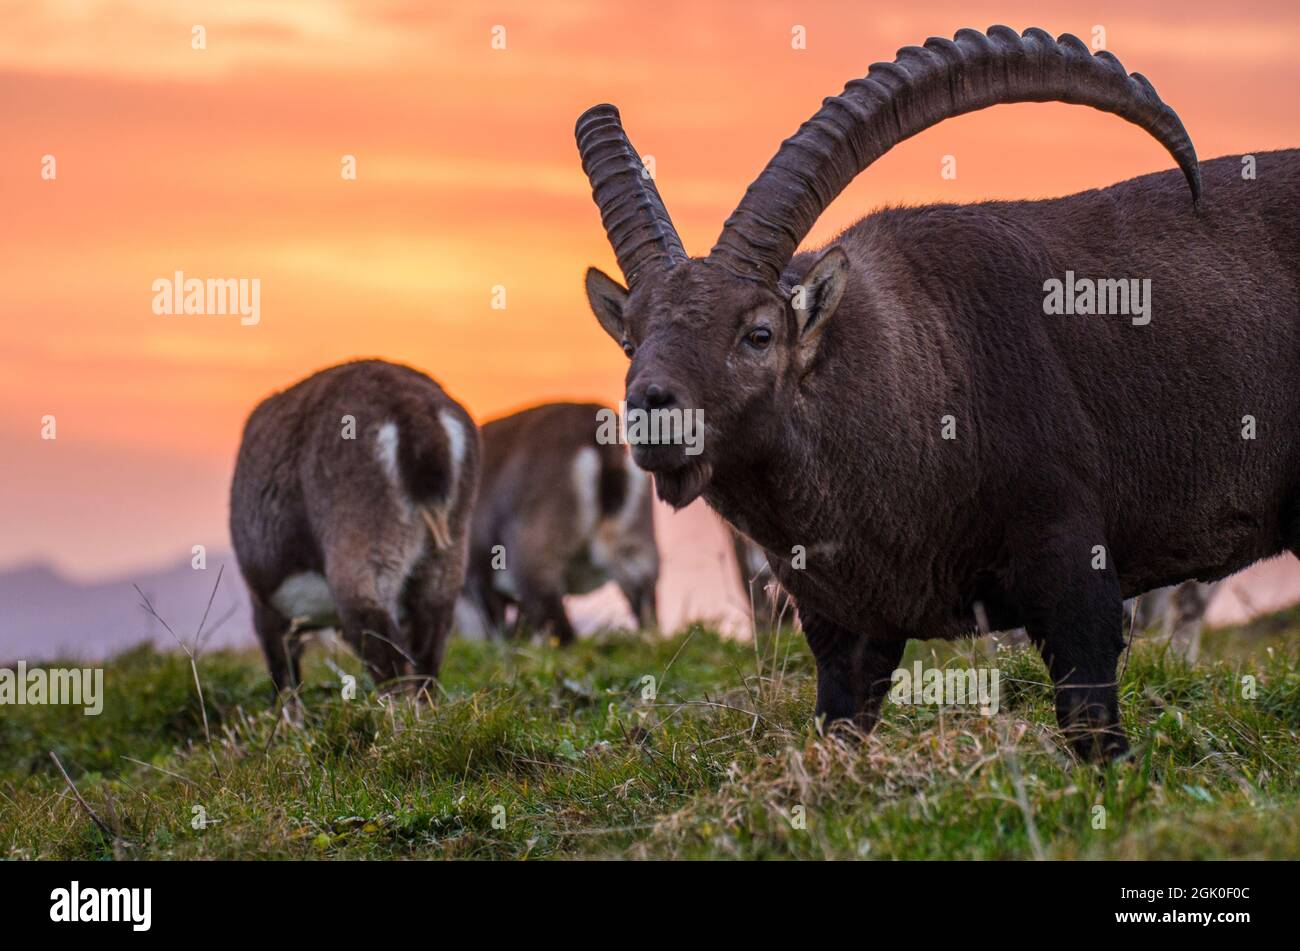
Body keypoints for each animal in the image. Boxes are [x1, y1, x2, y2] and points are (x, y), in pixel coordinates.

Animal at [230, 360, 479, 692]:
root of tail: (413, 415)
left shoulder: (267, 605)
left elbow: (284, 674)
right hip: (445, 555)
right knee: (429, 645)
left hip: (364, 549)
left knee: (384, 646)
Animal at [575, 26, 1300, 759]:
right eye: (630, 338)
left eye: (759, 333)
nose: (654, 414)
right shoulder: (845, 625)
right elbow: (841, 720)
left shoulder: (1074, 564)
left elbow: (1092, 722)